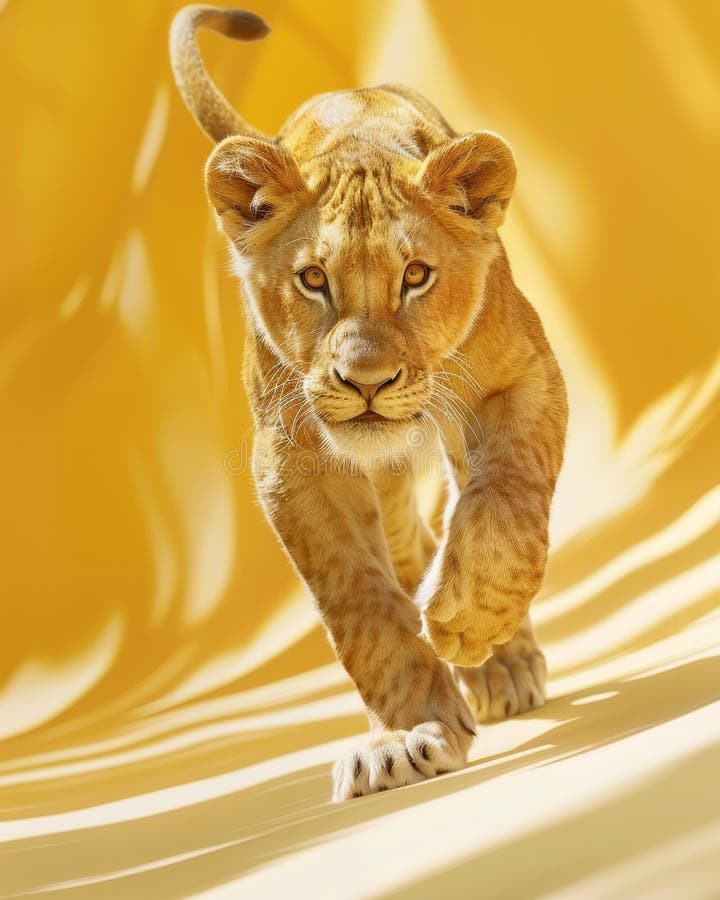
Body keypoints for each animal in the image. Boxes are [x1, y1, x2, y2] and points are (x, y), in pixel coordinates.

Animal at [170, 5, 568, 800]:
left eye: (416, 275)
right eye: (312, 279)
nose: (366, 382)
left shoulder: (526, 376)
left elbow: (505, 509)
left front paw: (468, 626)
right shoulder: (291, 463)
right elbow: (361, 605)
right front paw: (409, 735)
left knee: (460, 508)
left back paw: (502, 662)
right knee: (414, 538)